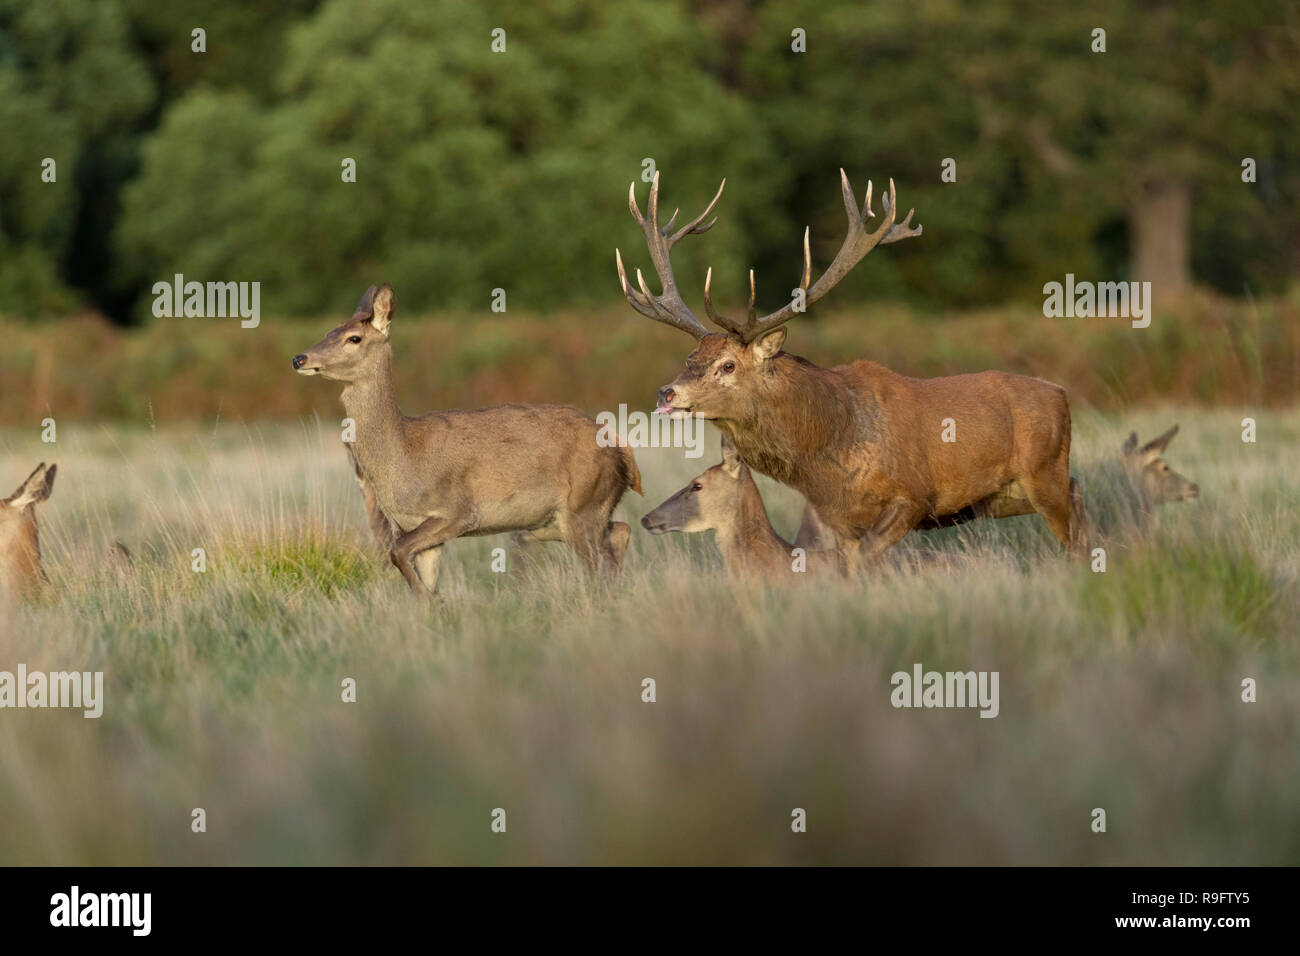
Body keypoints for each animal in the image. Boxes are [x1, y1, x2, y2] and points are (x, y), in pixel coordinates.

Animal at [293, 283, 640, 594]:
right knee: (620, 532)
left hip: (584, 502)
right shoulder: (416, 528)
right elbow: (420, 578)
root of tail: (622, 451)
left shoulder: (457, 511)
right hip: (557, 520)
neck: (404, 453)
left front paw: (436, 603)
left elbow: (398, 553)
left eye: (354, 337)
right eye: (329, 330)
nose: (299, 358)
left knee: (601, 562)